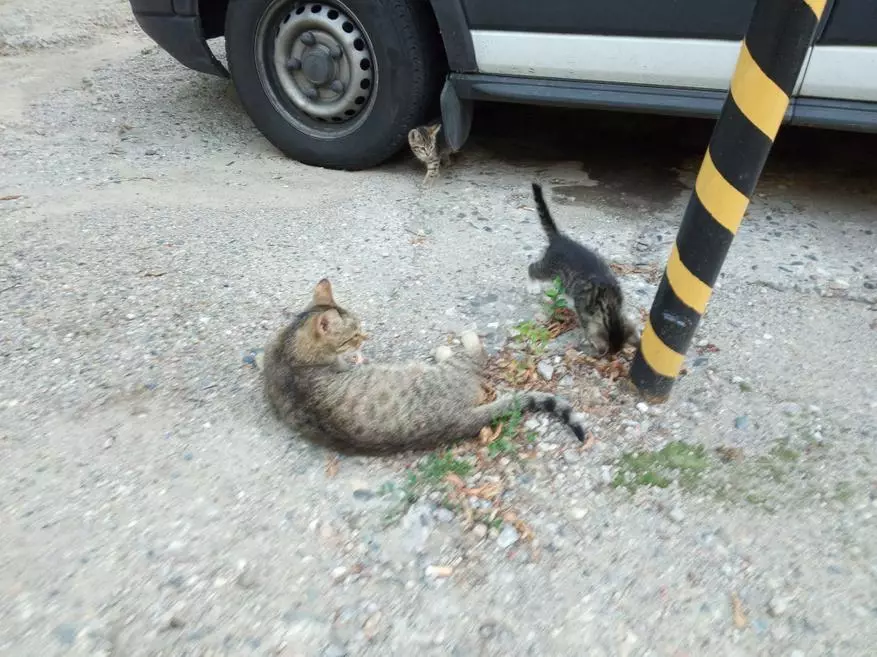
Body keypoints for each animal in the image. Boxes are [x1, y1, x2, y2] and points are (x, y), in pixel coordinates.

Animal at [262, 280, 588, 454]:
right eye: (354, 334)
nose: (366, 337)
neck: (289, 350)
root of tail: (460, 419)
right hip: (448, 372)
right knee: (475, 356)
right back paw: (458, 340)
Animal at [524, 182, 640, 354]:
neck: (609, 304)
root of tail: (559, 239)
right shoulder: (583, 307)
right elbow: (586, 324)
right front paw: (587, 338)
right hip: (548, 268)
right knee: (532, 268)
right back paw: (533, 286)